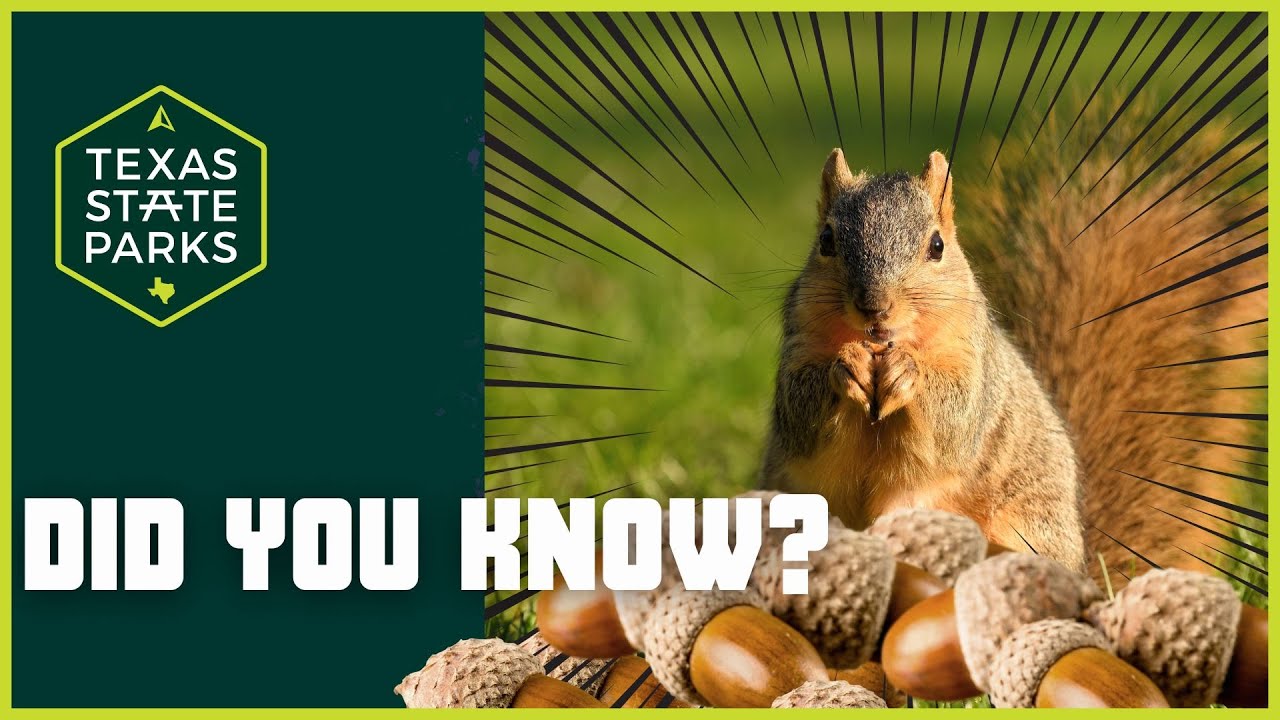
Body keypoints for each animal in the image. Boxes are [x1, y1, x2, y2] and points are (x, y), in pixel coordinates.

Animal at [762, 108, 1265, 578]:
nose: (874, 306)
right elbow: (799, 413)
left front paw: (910, 372)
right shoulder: (799, 344)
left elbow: (955, 418)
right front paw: (844, 366)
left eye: (937, 246)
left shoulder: (973, 360)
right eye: (826, 240)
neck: (883, 348)